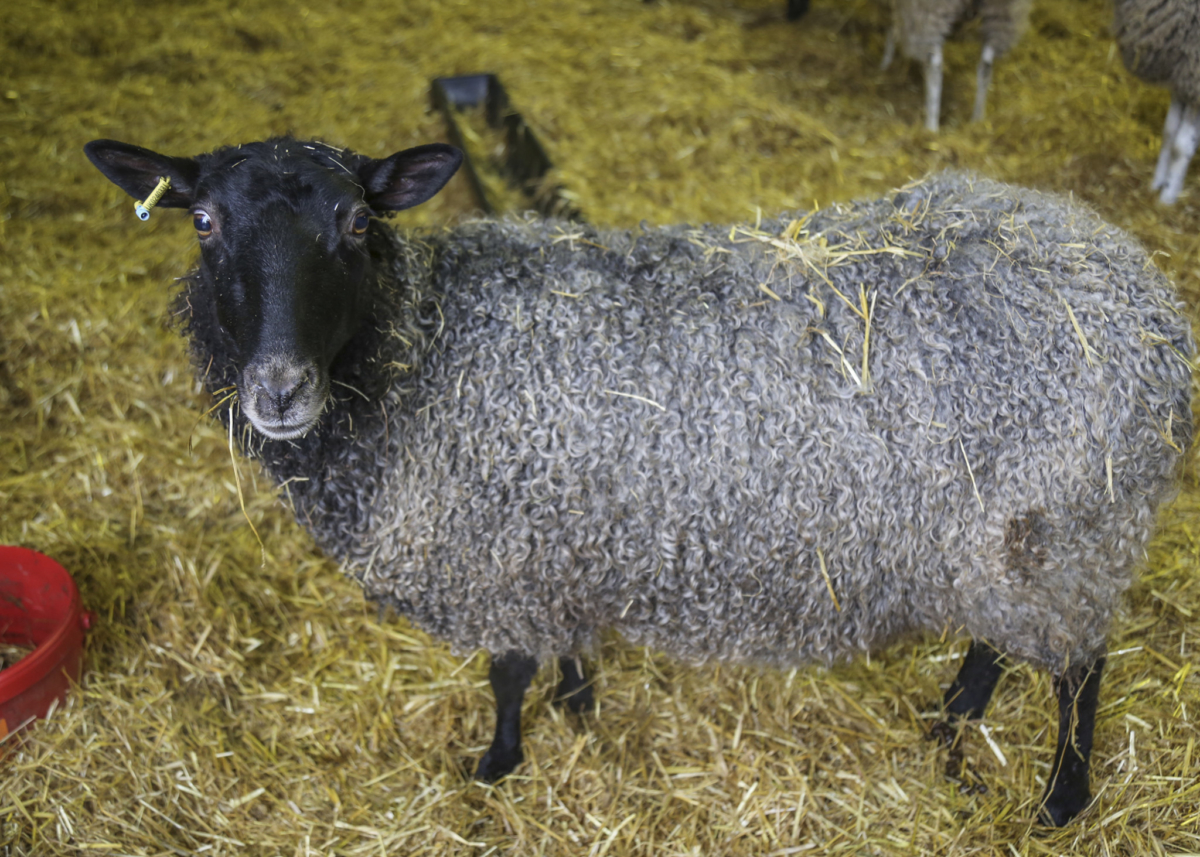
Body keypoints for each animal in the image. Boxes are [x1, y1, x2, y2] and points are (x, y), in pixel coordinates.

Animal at [83, 135, 1194, 827]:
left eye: (358, 225)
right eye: (202, 223)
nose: (279, 388)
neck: (425, 350)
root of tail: (1141, 288)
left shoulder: (504, 554)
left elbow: (506, 672)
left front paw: (498, 762)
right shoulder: (561, 539)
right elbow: (562, 652)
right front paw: (578, 706)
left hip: (1066, 531)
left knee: (1083, 667)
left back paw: (1061, 797)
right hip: (1001, 540)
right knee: (1003, 638)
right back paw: (958, 706)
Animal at [882, 0, 1033, 131]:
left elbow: (891, 20)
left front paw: (886, 59)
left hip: (928, 11)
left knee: (934, 63)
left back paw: (931, 127)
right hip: (1004, 12)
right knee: (986, 61)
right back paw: (977, 120)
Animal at [1113, 0, 1200, 204]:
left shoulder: (1195, 79)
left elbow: (1181, 145)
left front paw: (1167, 198)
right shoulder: (1181, 78)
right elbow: (1169, 133)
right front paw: (1157, 183)